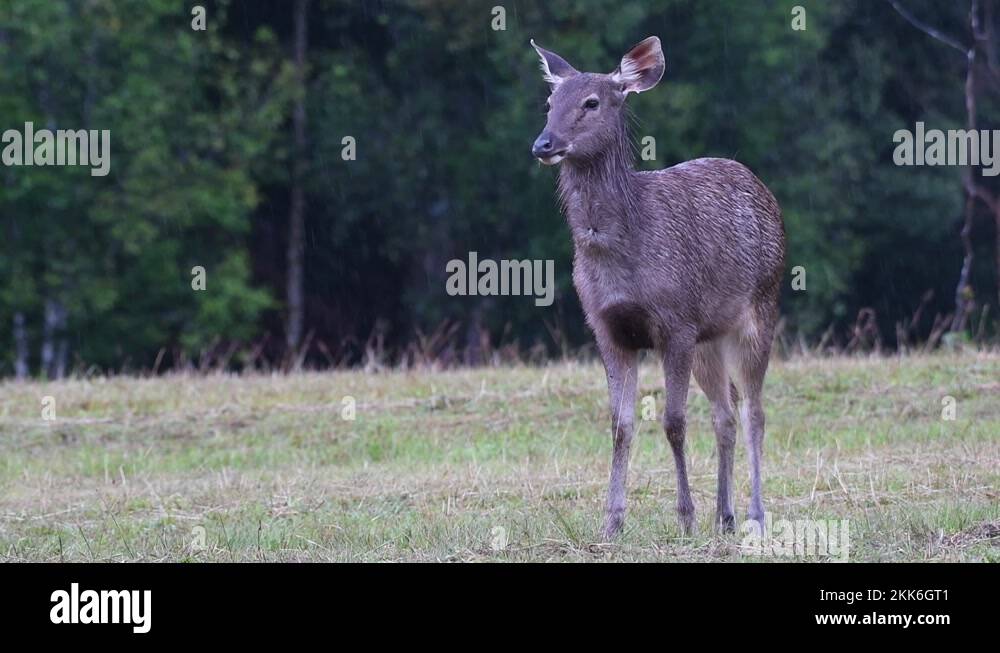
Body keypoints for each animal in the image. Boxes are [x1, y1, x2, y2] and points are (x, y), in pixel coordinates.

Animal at [530, 36, 786, 539]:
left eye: (591, 102)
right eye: (549, 102)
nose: (543, 144)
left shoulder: (676, 322)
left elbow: (673, 421)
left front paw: (685, 516)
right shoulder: (607, 328)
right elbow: (621, 424)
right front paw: (611, 522)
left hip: (760, 308)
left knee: (755, 412)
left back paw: (753, 516)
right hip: (710, 336)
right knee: (725, 413)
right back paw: (724, 516)